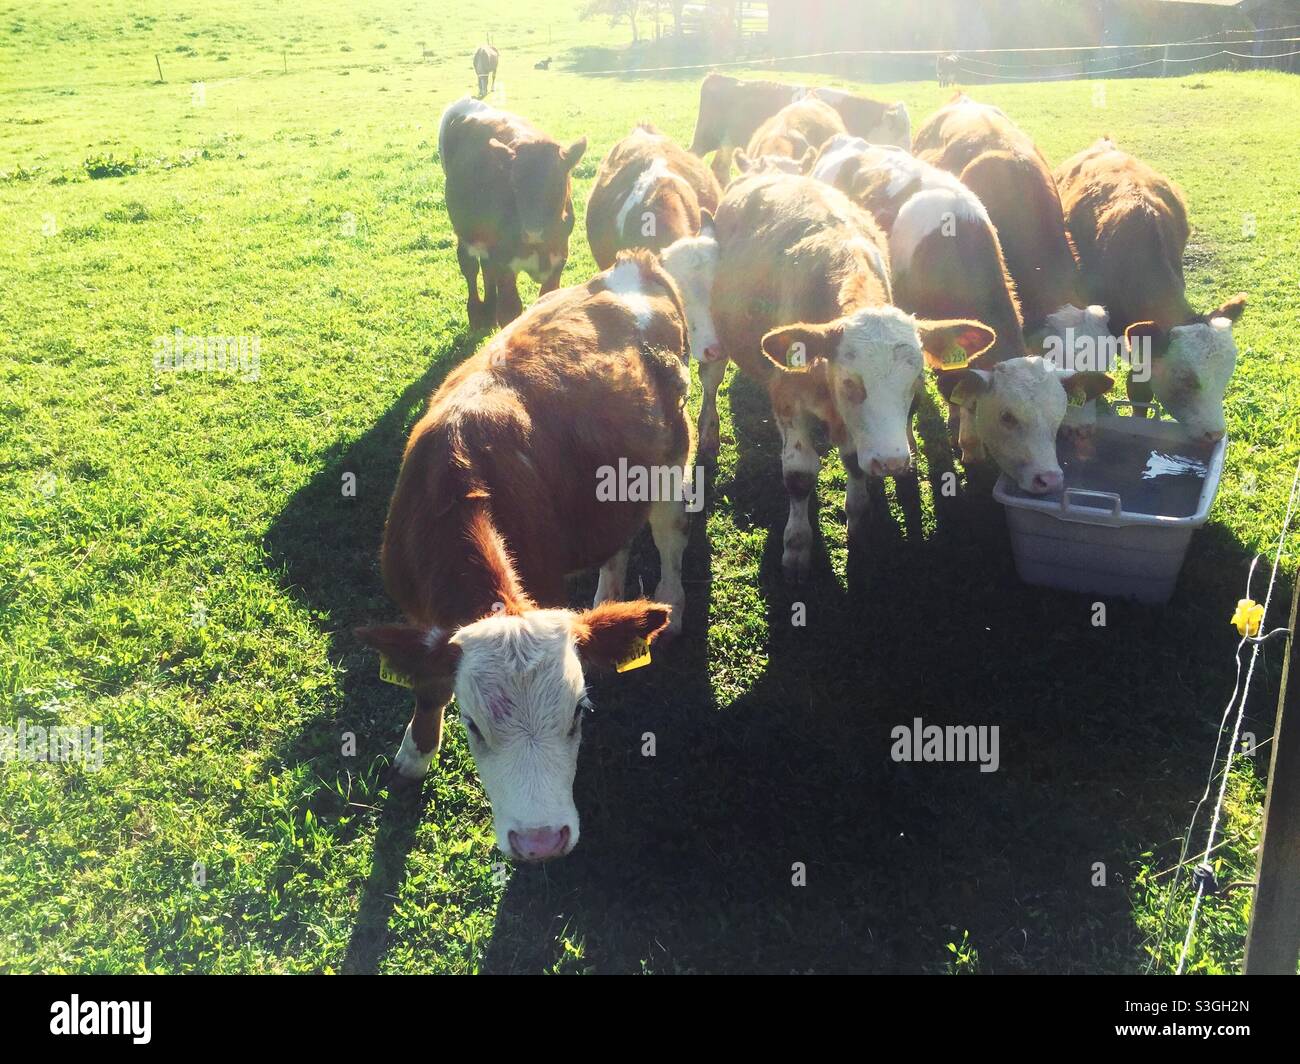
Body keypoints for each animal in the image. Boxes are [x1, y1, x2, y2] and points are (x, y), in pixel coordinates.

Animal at [356, 251, 694, 862]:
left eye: (579, 713)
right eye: (471, 725)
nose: (540, 842)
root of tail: (633, 264)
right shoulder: (419, 615)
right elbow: (427, 683)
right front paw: (414, 755)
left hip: (672, 461)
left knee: (670, 536)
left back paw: (671, 609)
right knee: (617, 544)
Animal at [439, 98, 586, 329]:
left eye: (557, 184)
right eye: (515, 184)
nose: (533, 232)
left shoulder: (559, 259)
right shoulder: (505, 264)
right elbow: (511, 310)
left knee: (486, 267)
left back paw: (489, 312)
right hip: (464, 233)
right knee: (470, 267)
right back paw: (477, 316)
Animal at [661, 170, 993, 581]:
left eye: (915, 385)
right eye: (850, 381)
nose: (892, 463)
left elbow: (852, 465)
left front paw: (858, 525)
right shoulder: (787, 398)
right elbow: (799, 473)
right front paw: (797, 547)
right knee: (710, 382)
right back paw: (708, 433)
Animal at [688, 73, 910, 185]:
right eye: (899, 129)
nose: (909, 150)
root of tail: (718, 77)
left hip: (726, 146)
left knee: (719, 169)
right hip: (703, 141)